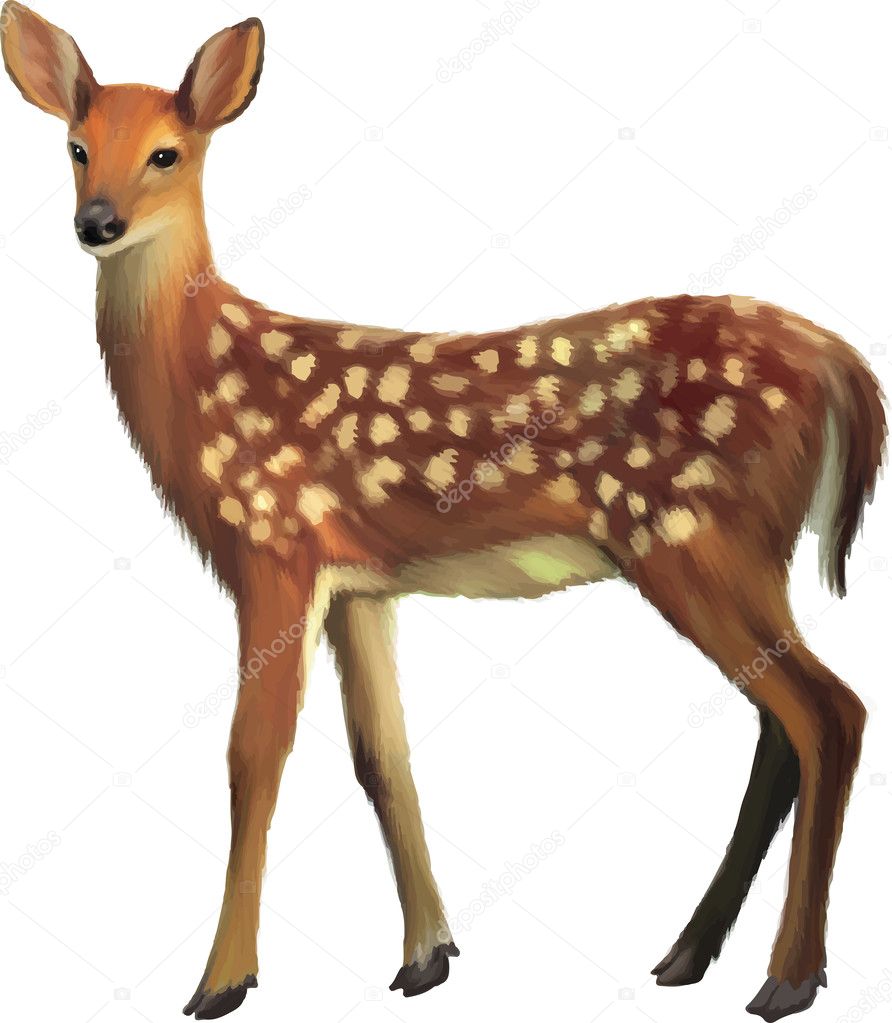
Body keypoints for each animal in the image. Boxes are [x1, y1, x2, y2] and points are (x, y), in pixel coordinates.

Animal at [1, 4, 886, 1020]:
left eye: (166, 153)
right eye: (75, 147)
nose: (96, 223)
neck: (207, 377)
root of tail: (844, 367)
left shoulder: (275, 549)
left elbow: (253, 758)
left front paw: (222, 979)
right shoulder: (360, 585)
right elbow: (382, 758)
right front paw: (427, 955)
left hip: (696, 536)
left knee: (830, 712)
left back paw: (787, 975)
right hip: (733, 550)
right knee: (784, 726)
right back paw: (688, 953)